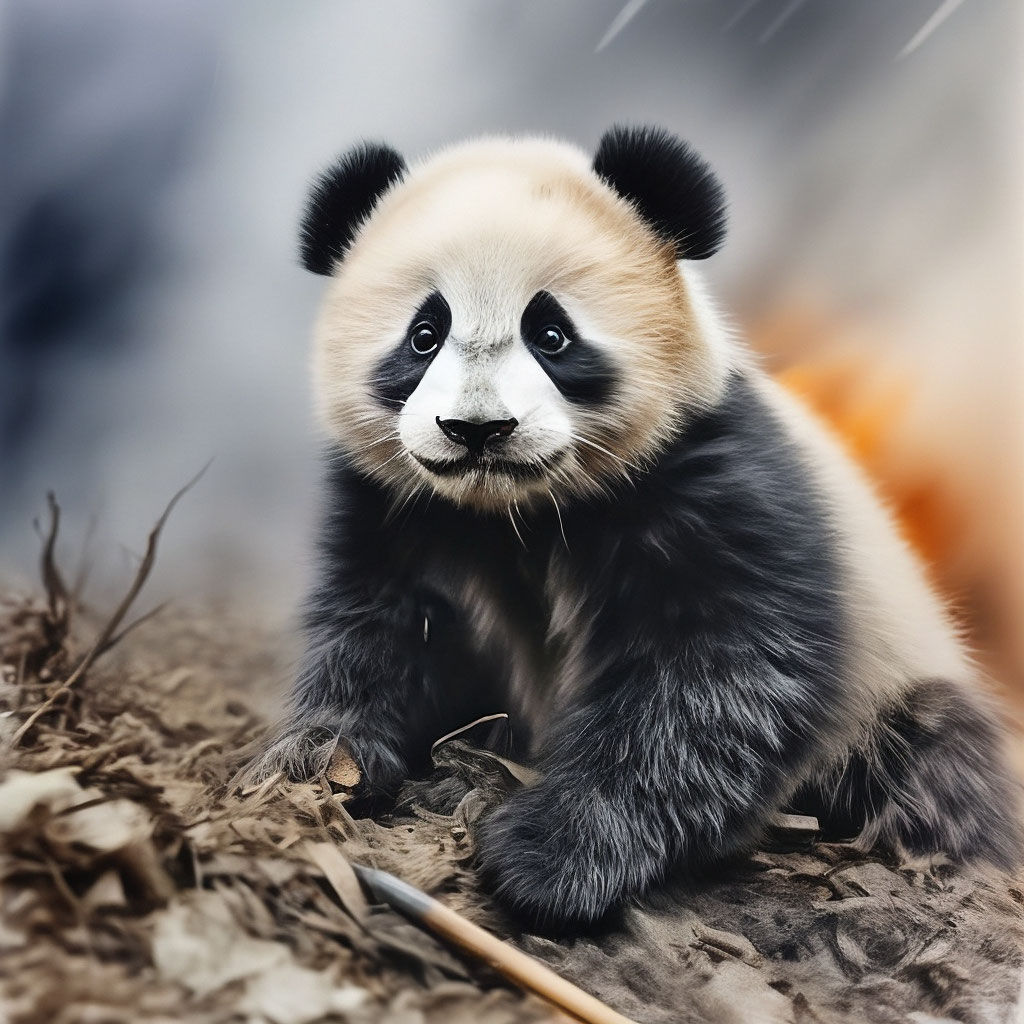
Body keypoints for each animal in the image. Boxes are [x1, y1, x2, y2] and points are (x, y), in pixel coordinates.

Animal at [250, 126, 1022, 932]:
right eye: (424, 334)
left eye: (551, 333)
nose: (477, 430)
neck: (518, 512)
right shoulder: (401, 508)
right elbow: (378, 627)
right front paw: (316, 757)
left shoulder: (712, 478)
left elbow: (714, 680)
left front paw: (549, 855)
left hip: (893, 686)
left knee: (929, 765)